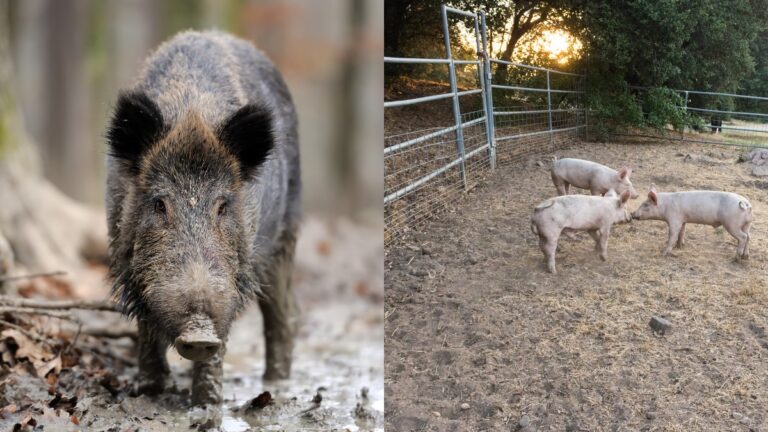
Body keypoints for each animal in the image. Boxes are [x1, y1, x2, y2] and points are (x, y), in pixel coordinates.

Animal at [105, 31, 301, 411]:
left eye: (222, 206)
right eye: (159, 204)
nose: (199, 333)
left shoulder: (235, 279)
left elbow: (221, 340)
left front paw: (207, 404)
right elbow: (146, 327)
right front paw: (149, 391)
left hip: (286, 237)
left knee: (282, 315)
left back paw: (277, 384)